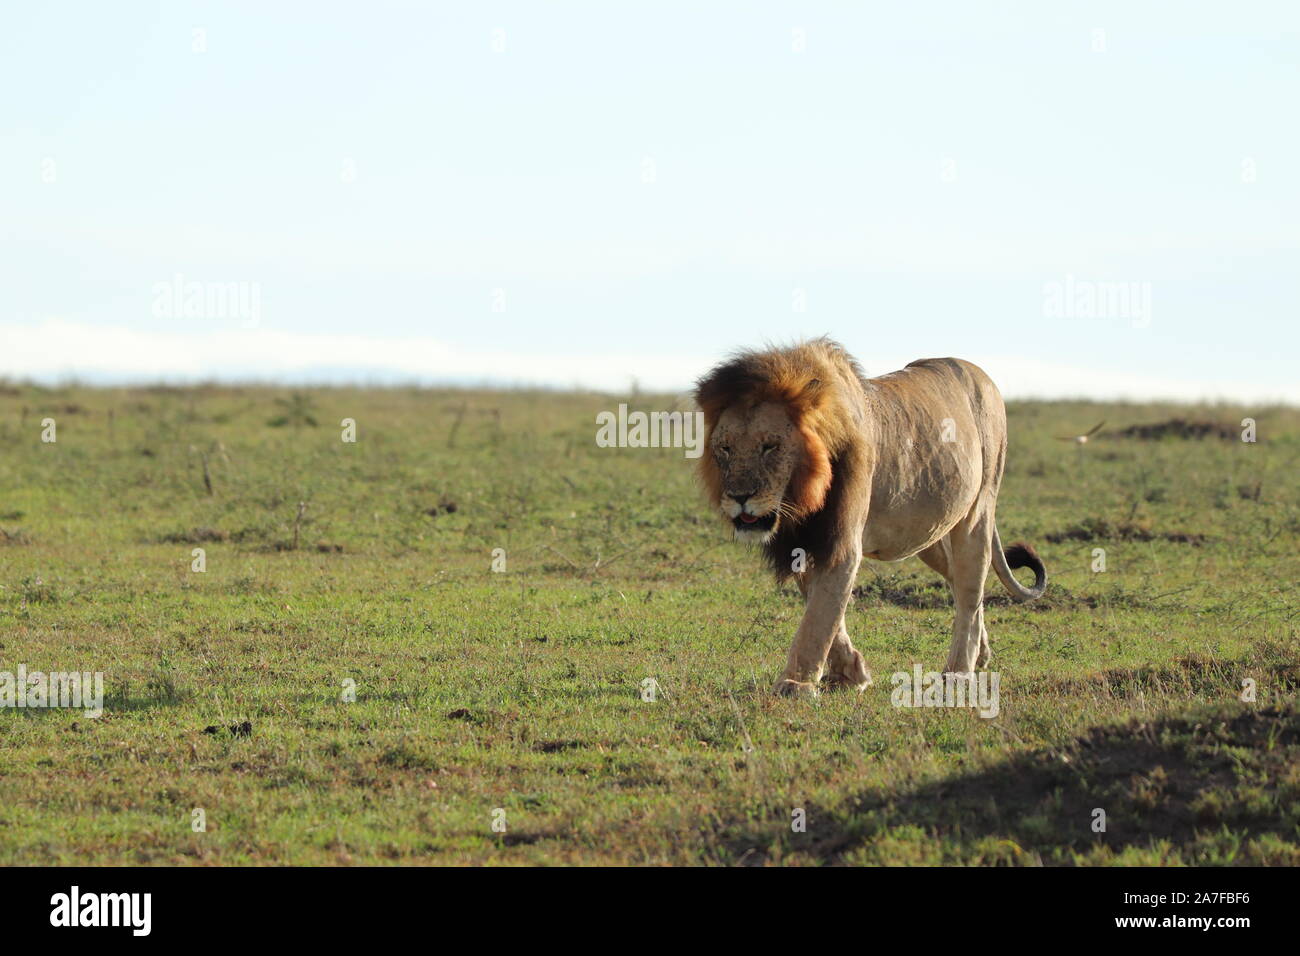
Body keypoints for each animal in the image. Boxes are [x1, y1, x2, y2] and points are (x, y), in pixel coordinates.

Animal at [695, 338, 1046, 697]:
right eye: (725, 448)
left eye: (770, 446)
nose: (739, 497)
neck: (801, 497)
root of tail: (980, 373)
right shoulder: (805, 542)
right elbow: (822, 611)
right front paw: (850, 672)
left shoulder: (842, 542)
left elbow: (818, 617)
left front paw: (796, 683)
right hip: (930, 532)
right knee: (961, 582)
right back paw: (982, 654)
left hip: (978, 509)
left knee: (970, 587)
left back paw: (959, 671)